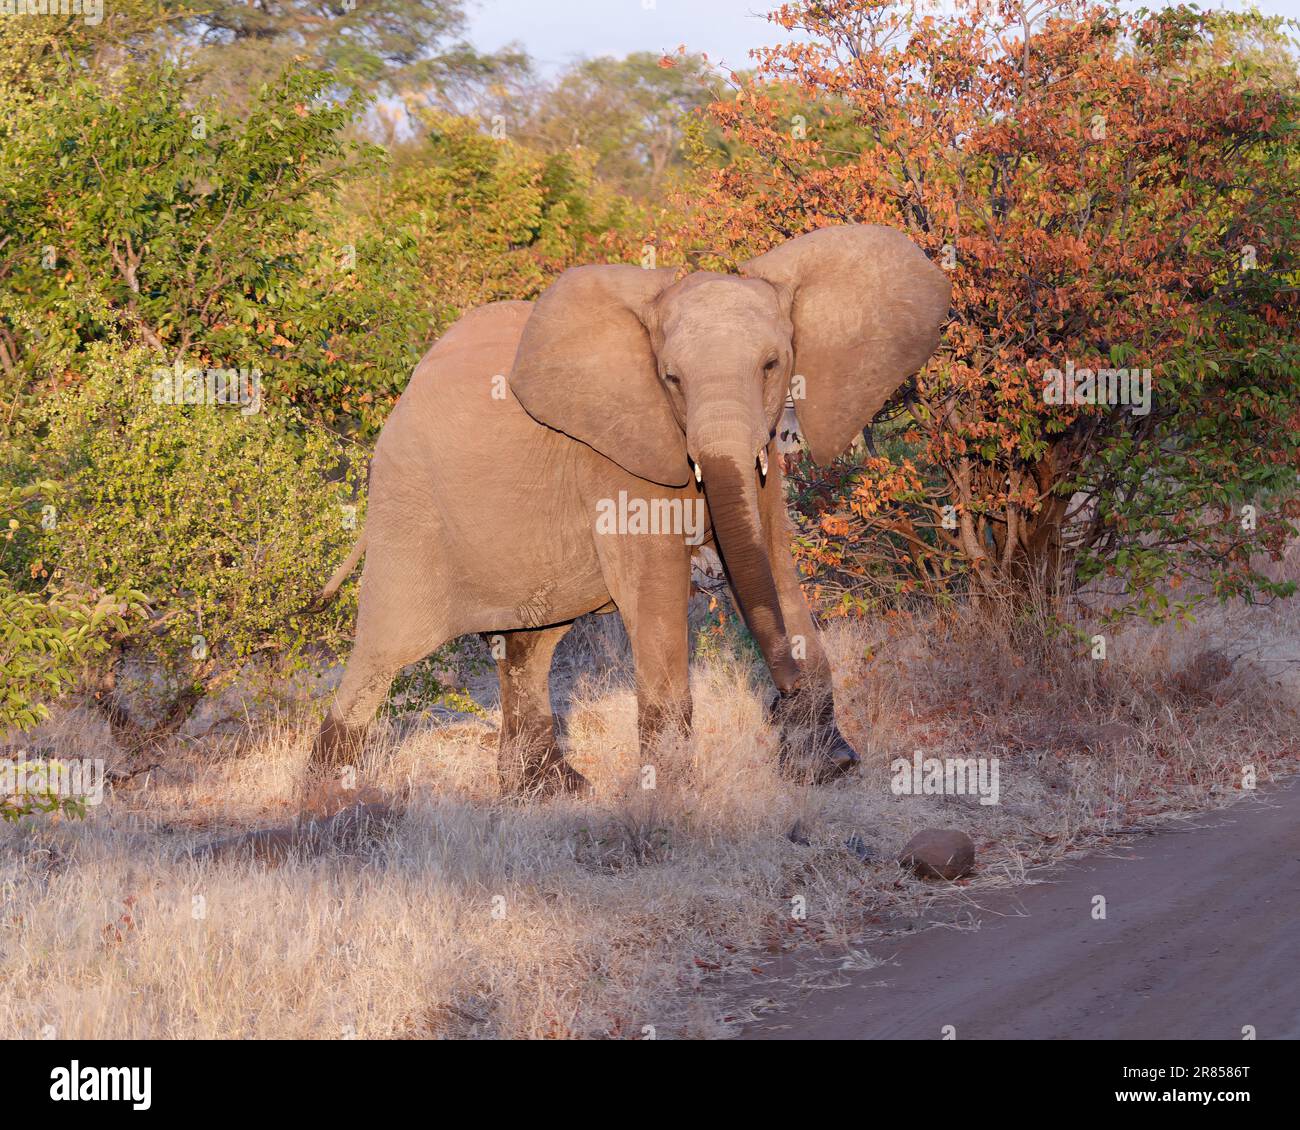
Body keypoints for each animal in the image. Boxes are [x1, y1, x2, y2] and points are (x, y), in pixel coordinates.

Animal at [305, 224, 950, 800]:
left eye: (772, 364)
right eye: (671, 378)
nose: (780, 700)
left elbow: (772, 561)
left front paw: (826, 766)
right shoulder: (616, 459)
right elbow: (656, 588)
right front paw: (673, 797)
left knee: (531, 644)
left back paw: (549, 793)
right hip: (408, 503)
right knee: (386, 648)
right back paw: (328, 796)